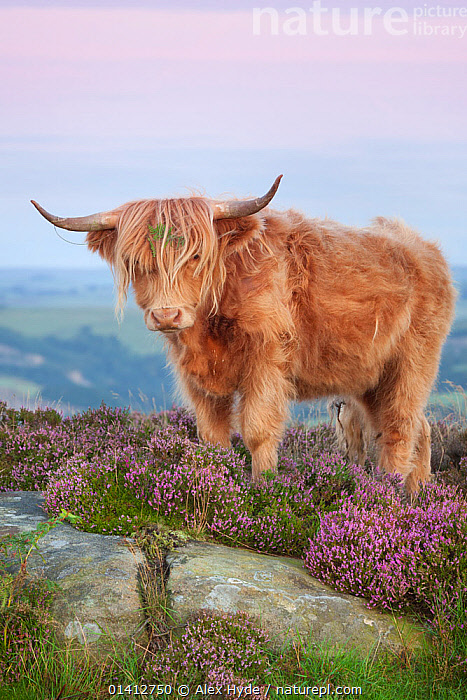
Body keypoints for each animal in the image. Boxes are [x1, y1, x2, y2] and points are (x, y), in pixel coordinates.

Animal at [32, 176, 456, 493]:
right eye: (137, 262)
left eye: (196, 256)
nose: (166, 315)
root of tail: (425, 249)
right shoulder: (196, 376)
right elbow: (212, 436)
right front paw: (215, 489)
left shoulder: (267, 361)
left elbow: (256, 431)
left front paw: (263, 493)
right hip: (368, 378)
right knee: (415, 428)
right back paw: (417, 499)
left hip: (411, 363)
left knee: (399, 430)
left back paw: (388, 502)